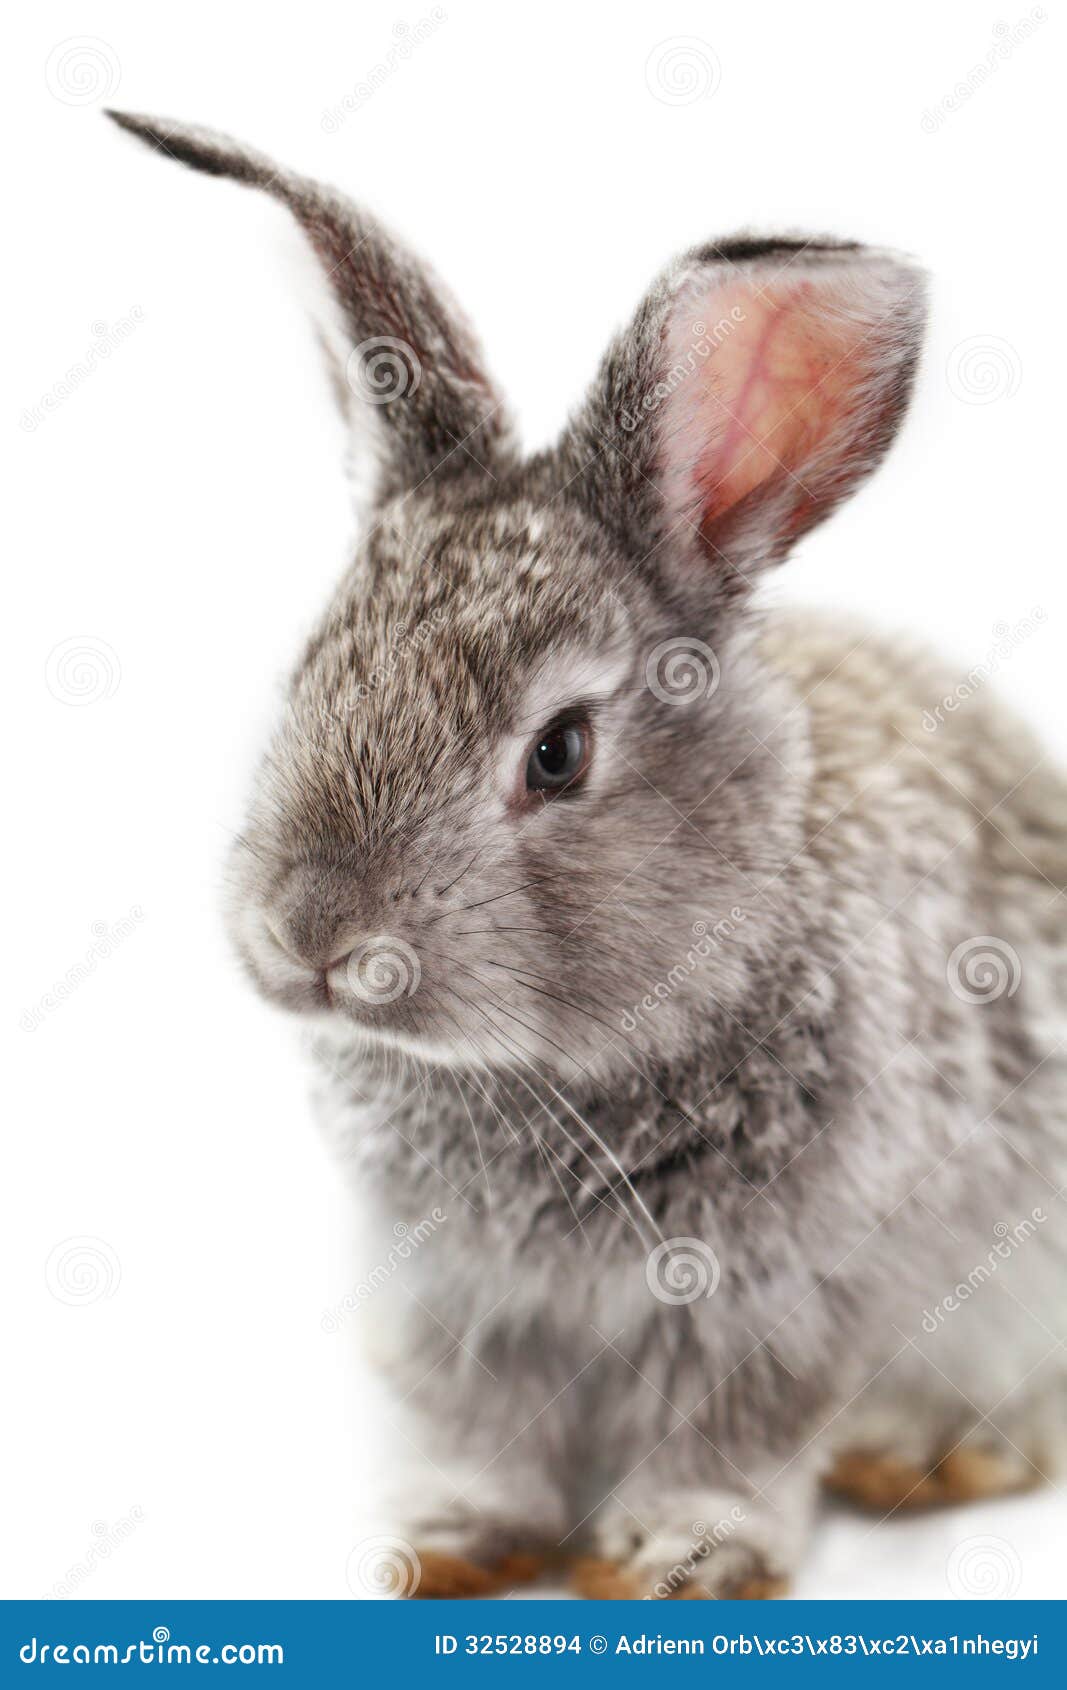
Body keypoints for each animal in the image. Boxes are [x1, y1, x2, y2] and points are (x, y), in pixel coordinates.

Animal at [108, 110, 1067, 1600]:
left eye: (555, 752)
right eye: (306, 676)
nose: (311, 936)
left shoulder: (776, 1296)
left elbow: (735, 1431)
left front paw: (676, 1557)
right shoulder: (452, 1309)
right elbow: (475, 1430)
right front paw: (444, 1543)